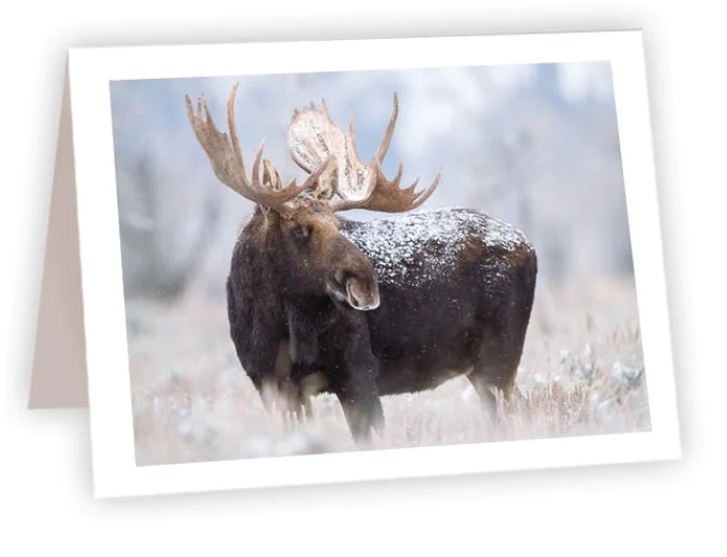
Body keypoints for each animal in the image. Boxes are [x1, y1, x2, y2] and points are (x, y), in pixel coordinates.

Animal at [185, 82, 538, 444]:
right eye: (299, 229)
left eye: (338, 224)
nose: (365, 282)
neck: (274, 325)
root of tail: (527, 243)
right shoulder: (271, 384)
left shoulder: (358, 372)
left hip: (499, 358)